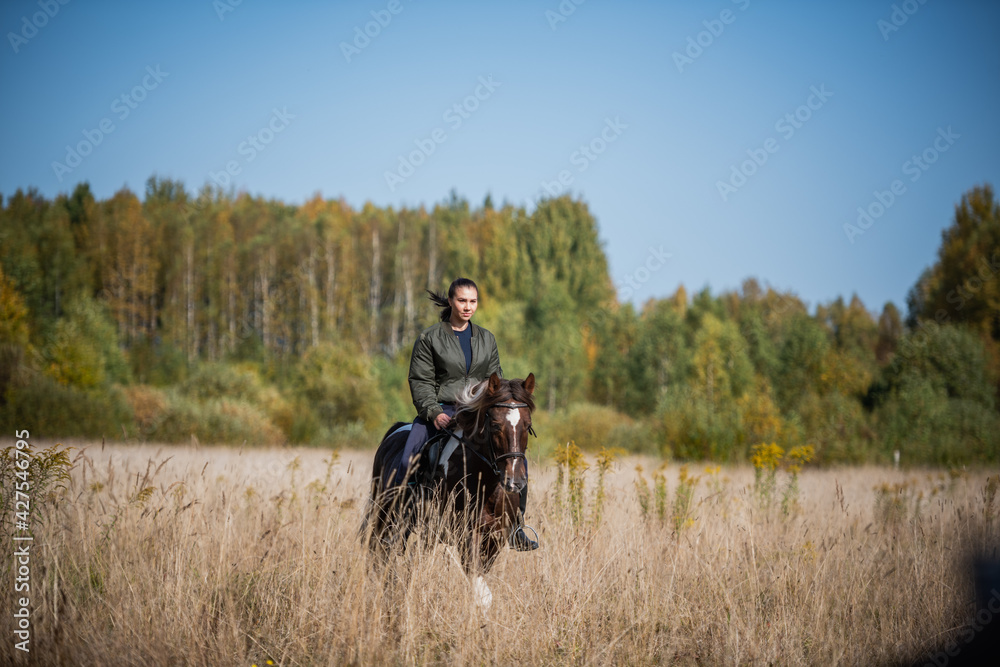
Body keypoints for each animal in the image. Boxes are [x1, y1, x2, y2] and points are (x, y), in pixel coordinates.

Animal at [361, 372, 536, 600]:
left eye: (527, 425)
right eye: (496, 425)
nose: (515, 481)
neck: (484, 482)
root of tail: (395, 430)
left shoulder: (495, 538)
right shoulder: (466, 536)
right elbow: (481, 592)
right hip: (385, 516)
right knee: (380, 553)